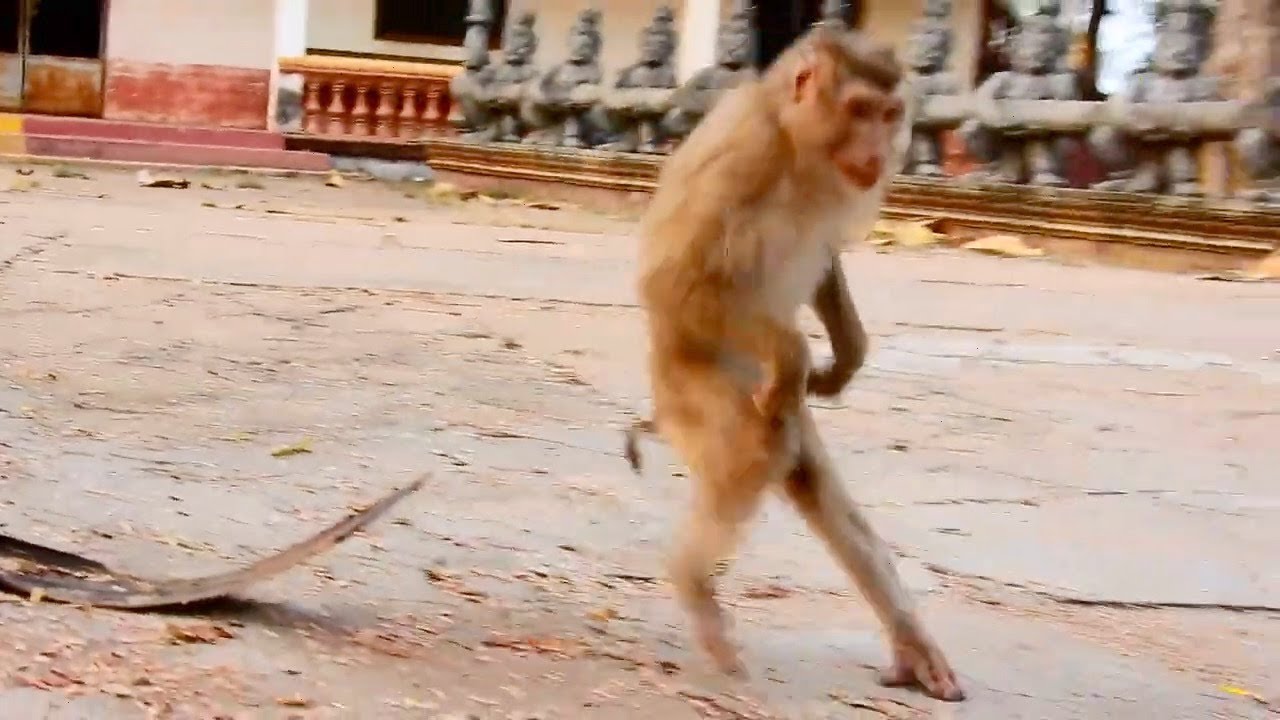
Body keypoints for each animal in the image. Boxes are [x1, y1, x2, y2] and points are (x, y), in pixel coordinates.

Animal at [631, 25, 965, 701]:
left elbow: (826, 257)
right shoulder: (743, 153)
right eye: (859, 110)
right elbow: (673, 279)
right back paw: (693, 584)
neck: (796, 141)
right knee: (760, 442)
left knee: (808, 470)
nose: (878, 148)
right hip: (694, 386)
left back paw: (912, 645)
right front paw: (799, 352)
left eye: (889, 114)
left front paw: (847, 354)